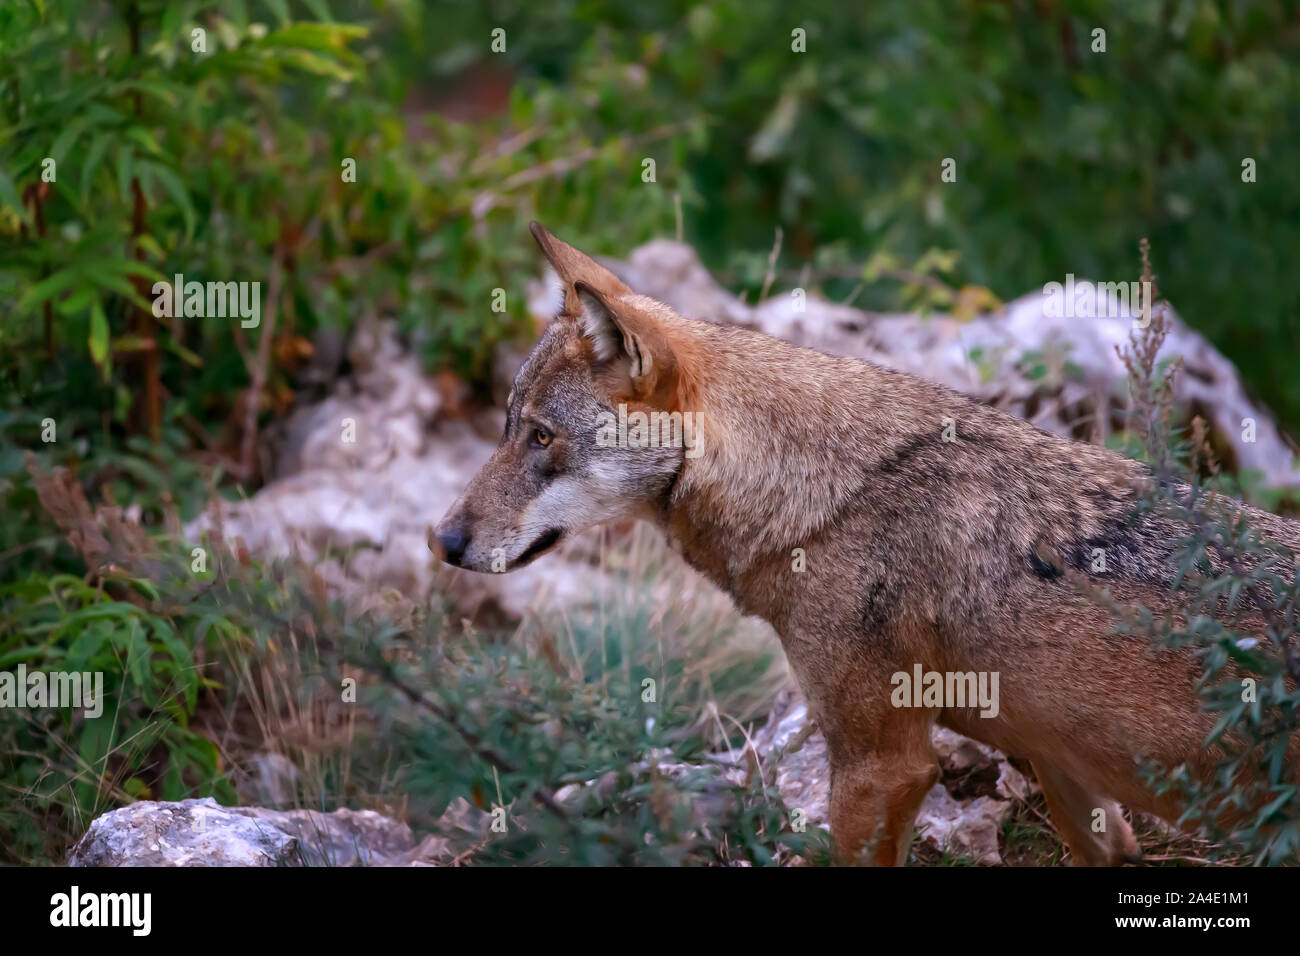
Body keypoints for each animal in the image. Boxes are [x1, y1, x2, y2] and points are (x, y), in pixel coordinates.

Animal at [433, 222, 1300, 865]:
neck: (823, 499)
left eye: (542, 438)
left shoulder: (882, 767)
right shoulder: (1056, 762)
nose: (441, 539)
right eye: (508, 428)